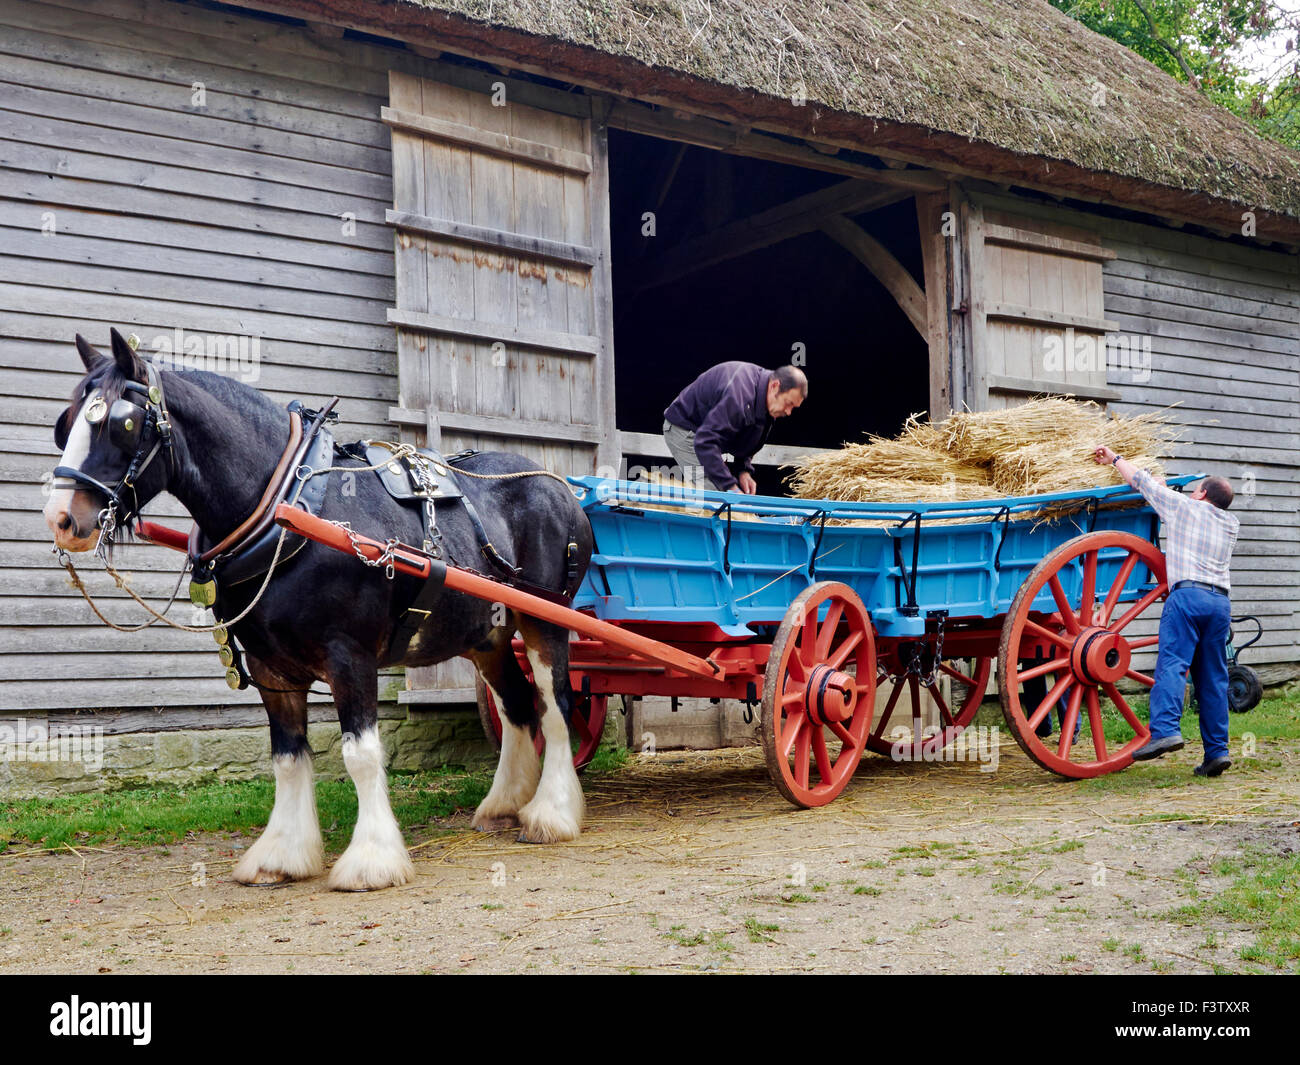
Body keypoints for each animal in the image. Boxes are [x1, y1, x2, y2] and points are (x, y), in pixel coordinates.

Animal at [43, 328, 595, 891]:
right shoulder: (270, 667)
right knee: (517, 706)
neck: (286, 510)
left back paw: (551, 813)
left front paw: (371, 859)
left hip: (547, 618)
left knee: (555, 705)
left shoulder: (350, 655)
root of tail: (559, 485)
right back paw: (504, 805)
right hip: (487, 637)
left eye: (122, 423)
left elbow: (361, 755)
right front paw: (281, 854)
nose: (61, 519)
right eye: (64, 423)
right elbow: (288, 758)